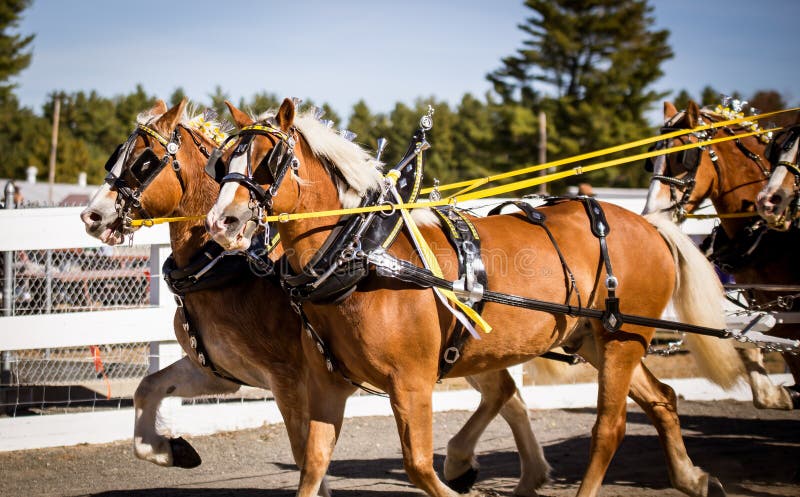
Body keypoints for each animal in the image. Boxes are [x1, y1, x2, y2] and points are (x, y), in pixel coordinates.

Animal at [79, 99, 553, 497]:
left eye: (142, 161)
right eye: (114, 157)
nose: (90, 215)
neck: (225, 266)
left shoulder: (288, 377)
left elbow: (301, 447)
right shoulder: (219, 371)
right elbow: (147, 390)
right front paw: (170, 450)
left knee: (503, 391)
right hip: (464, 350)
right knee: (507, 392)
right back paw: (512, 472)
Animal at [205, 97, 739, 497]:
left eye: (270, 161)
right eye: (222, 165)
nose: (221, 223)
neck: (361, 251)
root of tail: (650, 226)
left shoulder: (411, 383)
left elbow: (419, 465)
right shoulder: (326, 385)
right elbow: (314, 464)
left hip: (621, 342)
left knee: (609, 428)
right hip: (593, 338)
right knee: (663, 399)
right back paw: (692, 478)